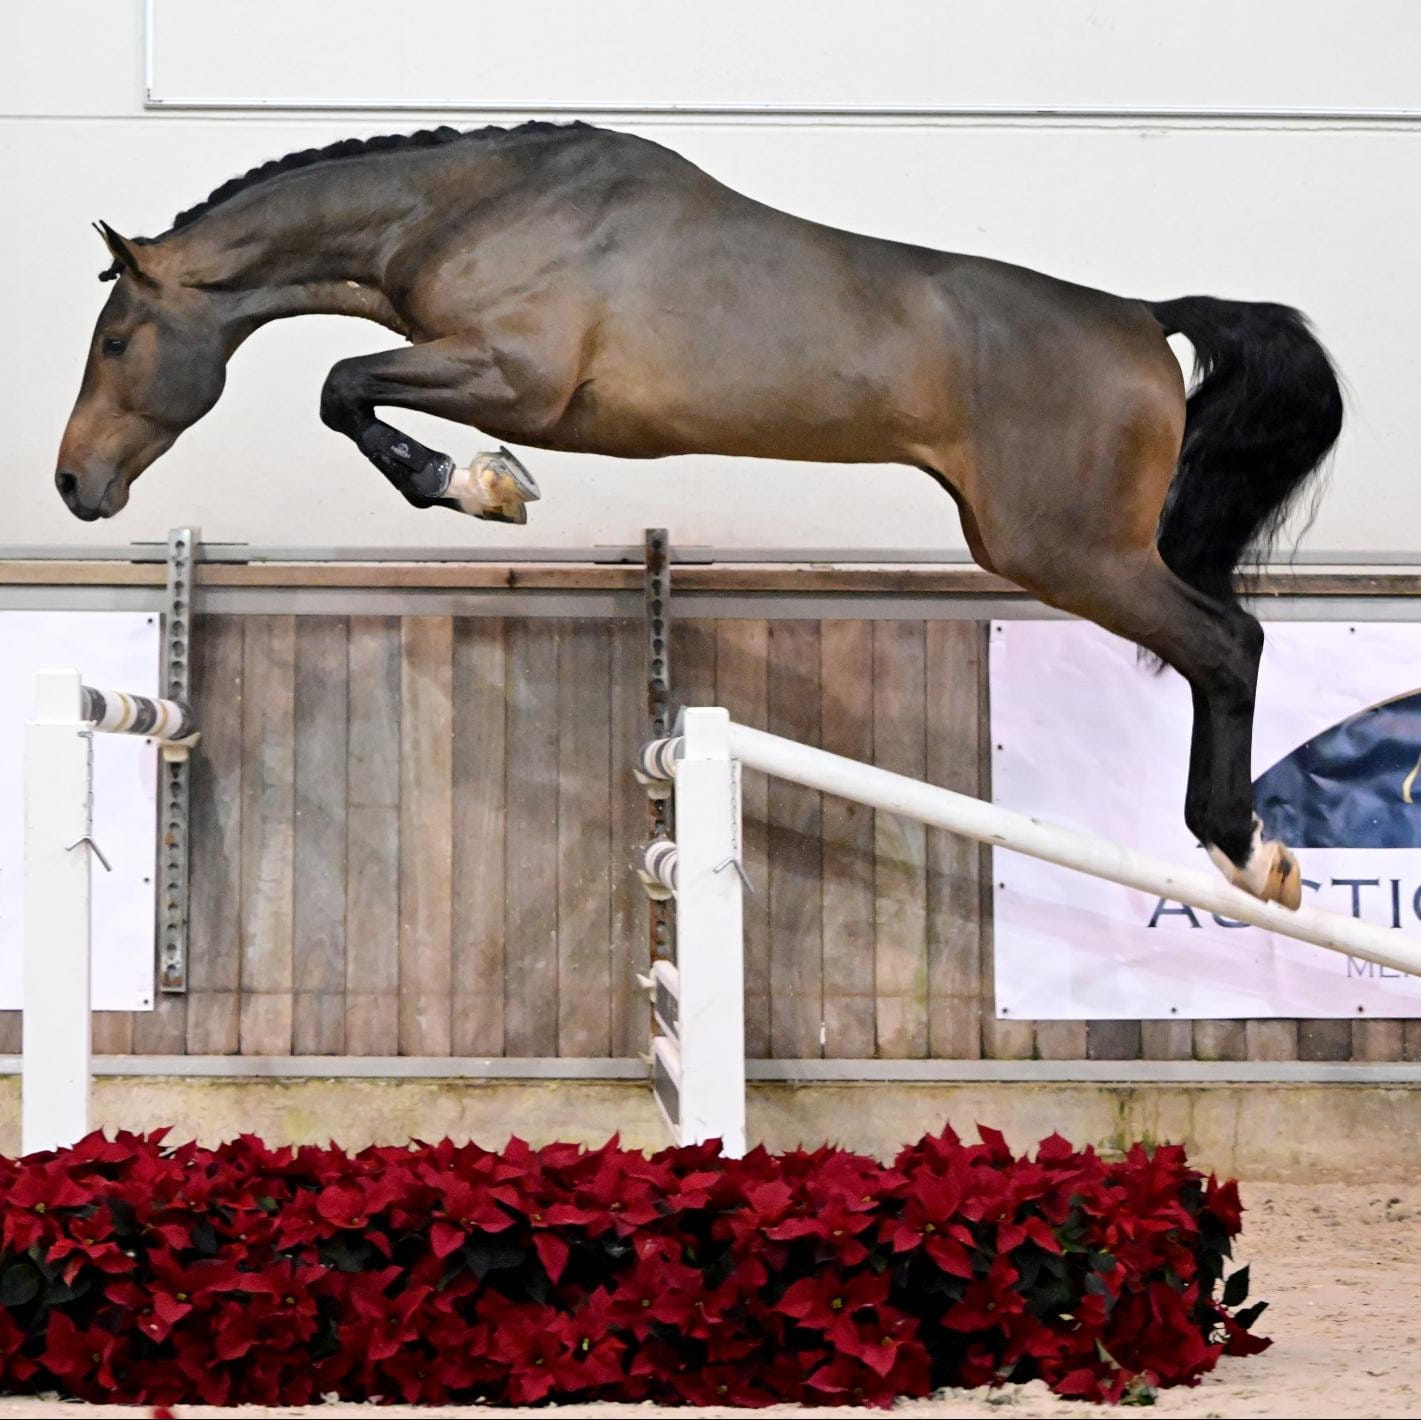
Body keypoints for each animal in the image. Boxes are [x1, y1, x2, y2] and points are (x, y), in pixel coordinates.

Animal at [55, 120, 1343, 909]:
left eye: (115, 341)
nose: (74, 484)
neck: (466, 210)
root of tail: (1142, 315)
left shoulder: (513, 377)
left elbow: (341, 387)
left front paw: (479, 485)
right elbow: (348, 389)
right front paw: (483, 483)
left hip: (1063, 548)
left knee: (1227, 642)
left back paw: (1248, 852)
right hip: (1039, 544)